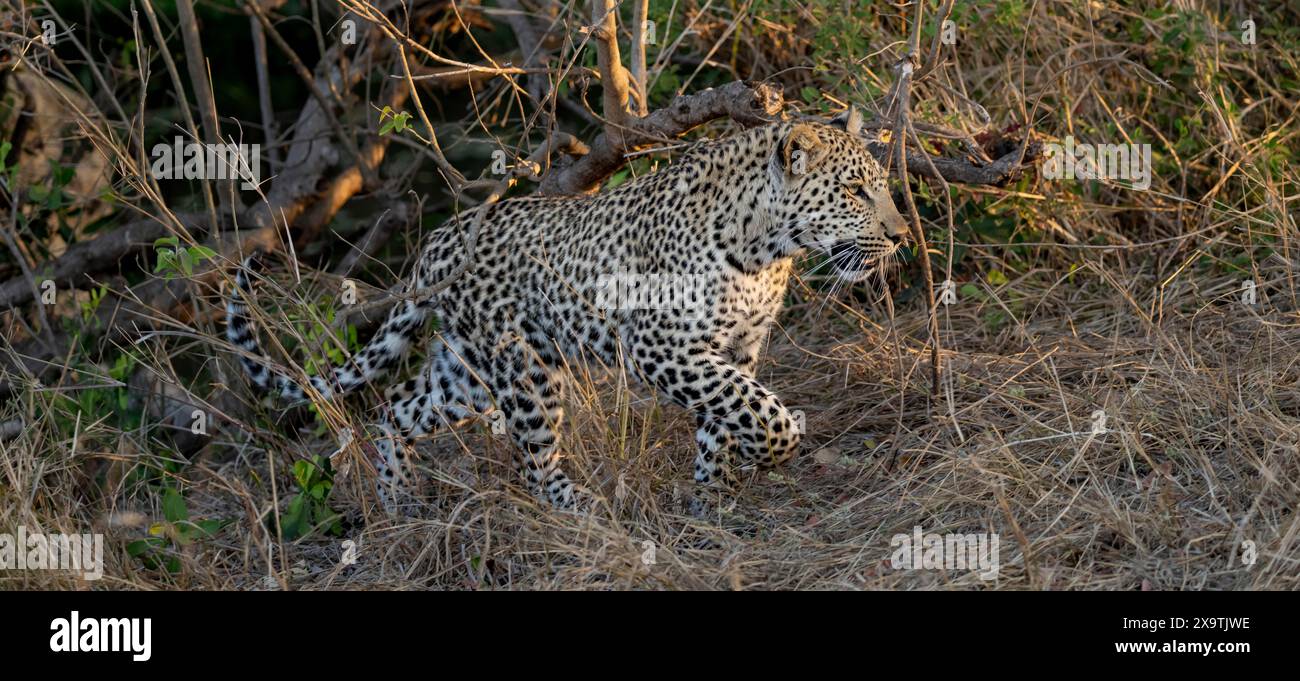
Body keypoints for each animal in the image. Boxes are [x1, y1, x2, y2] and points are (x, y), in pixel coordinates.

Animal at [226, 109, 910, 515]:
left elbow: (727, 412)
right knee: (532, 460)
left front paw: (713, 497)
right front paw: (772, 451)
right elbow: (753, 408)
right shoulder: (662, 347)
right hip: (523, 371)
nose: (902, 235)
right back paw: (584, 512)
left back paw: (399, 504)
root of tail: (440, 239)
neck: (768, 248)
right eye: (855, 191)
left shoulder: (735, 347)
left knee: (395, 408)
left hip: (464, 373)